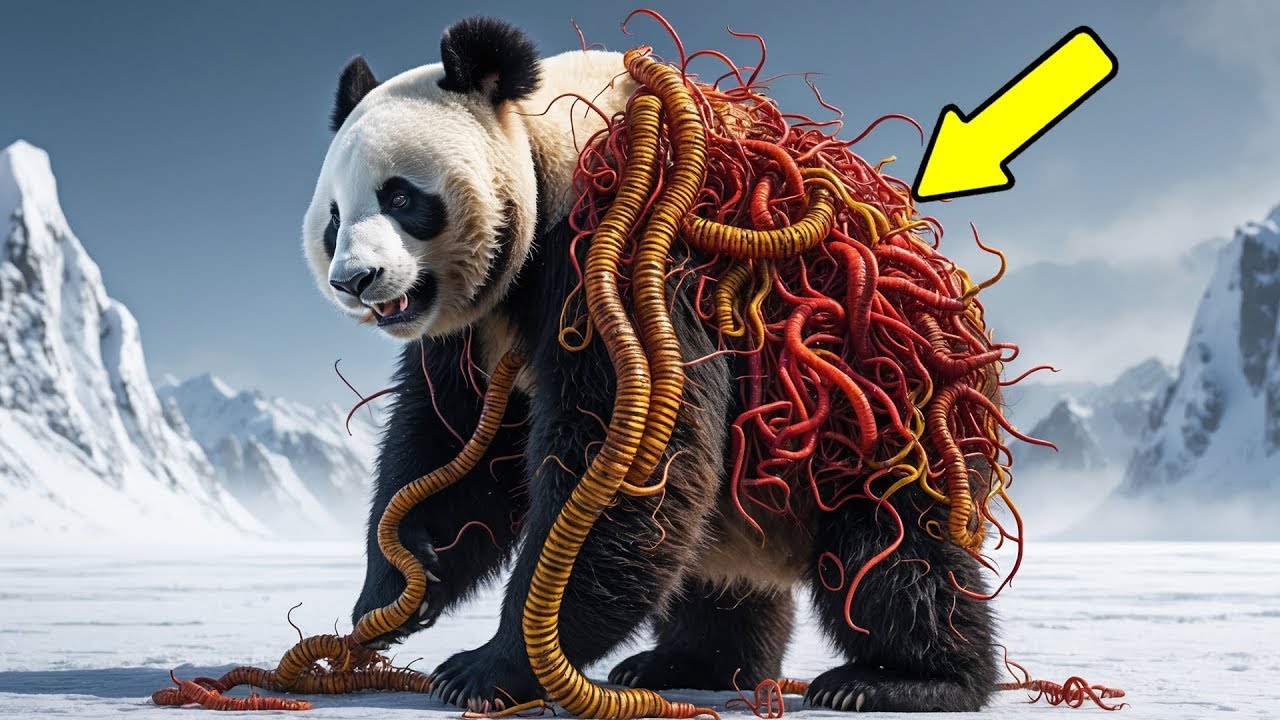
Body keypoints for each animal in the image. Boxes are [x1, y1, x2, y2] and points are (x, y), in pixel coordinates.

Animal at [302, 17, 998, 713]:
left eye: (400, 197)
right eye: (333, 218)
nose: (354, 281)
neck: (548, 142)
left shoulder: (623, 246)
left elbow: (627, 454)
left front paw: (488, 668)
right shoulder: (476, 328)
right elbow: (450, 440)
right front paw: (397, 592)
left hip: (878, 403)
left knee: (892, 548)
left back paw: (901, 678)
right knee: (716, 566)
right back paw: (693, 663)